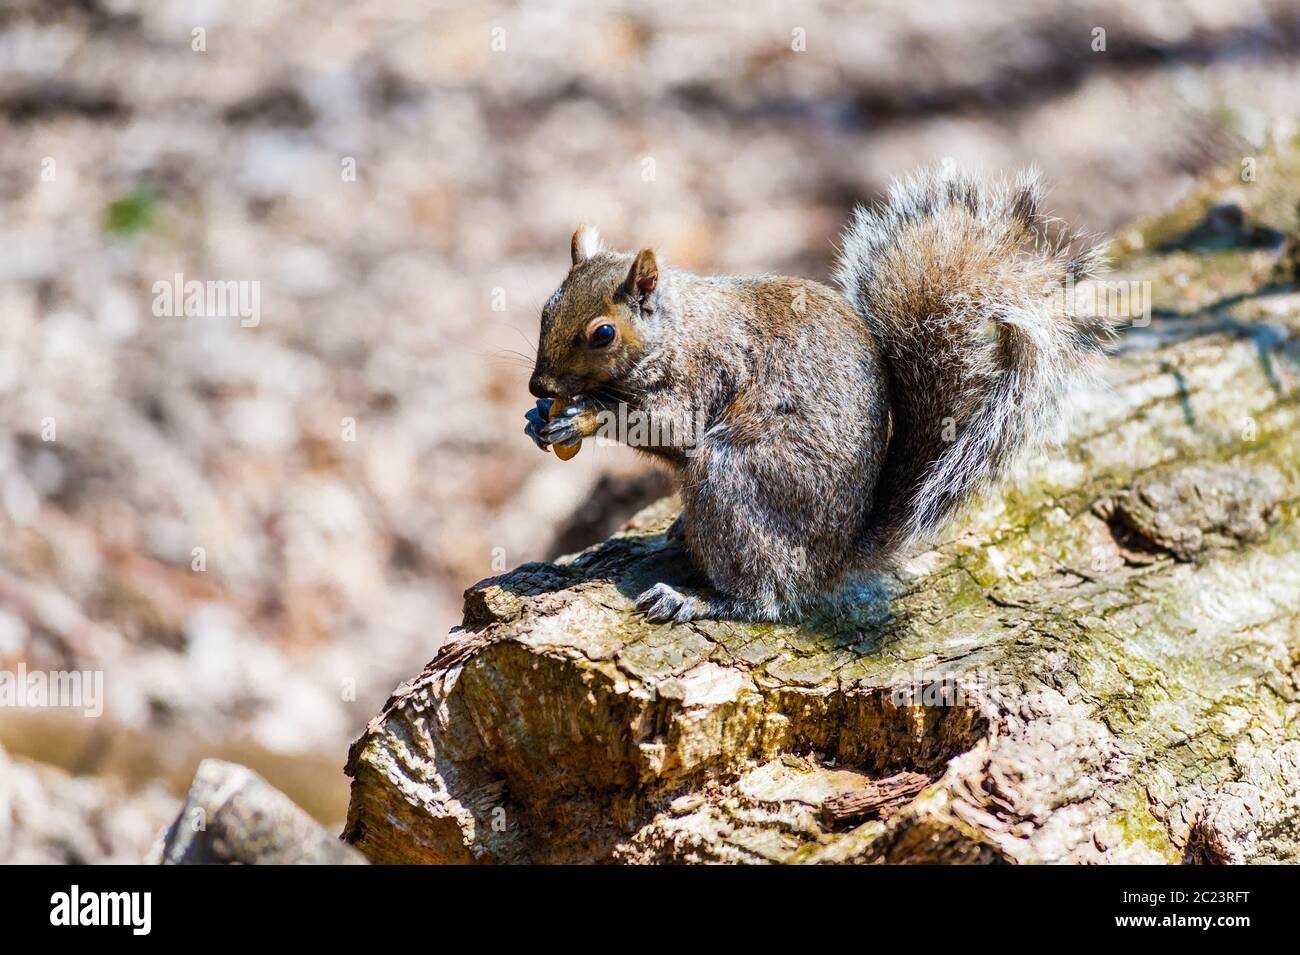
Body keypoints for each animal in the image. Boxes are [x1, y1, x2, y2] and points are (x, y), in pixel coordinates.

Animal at [524, 166, 1111, 623]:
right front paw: (537, 418)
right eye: (546, 308)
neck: (674, 328)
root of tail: (835, 555)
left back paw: (696, 598)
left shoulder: (704, 372)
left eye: (603, 333)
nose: (538, 386)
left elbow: (667, 424)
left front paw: (585, 417)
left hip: (734, 477)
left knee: (764, 595)